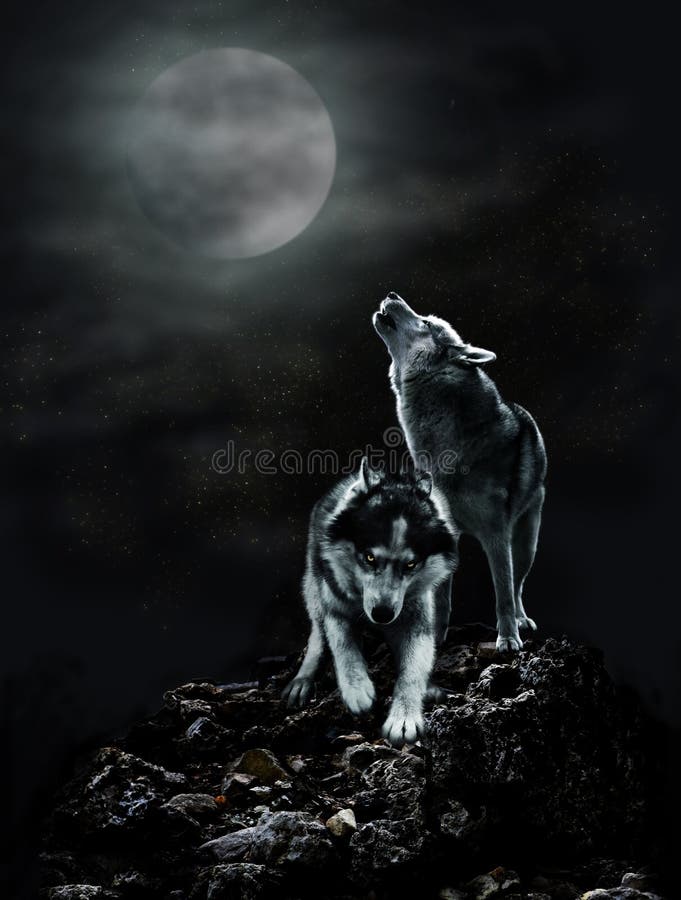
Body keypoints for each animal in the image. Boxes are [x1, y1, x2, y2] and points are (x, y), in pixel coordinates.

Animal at [282, 458, 458, 745]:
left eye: (411, 564)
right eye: (370, 558)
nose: (383, 614)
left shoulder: (417, 619)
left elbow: (412, 671)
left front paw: (404, 718)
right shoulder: (335, 608)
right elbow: (344, 647)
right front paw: (357, 689)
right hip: (314, 589)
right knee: (317, 635)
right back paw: (303, 680)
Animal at [373, 292, 547, 653]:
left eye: (426, 323)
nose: (393, 294)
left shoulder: (496, 535)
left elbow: (503, 594)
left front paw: (508, 638)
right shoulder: (443, 537)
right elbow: (441, 599)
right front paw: (435, 640)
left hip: (526, 543)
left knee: (517, 585)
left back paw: (522, 622)